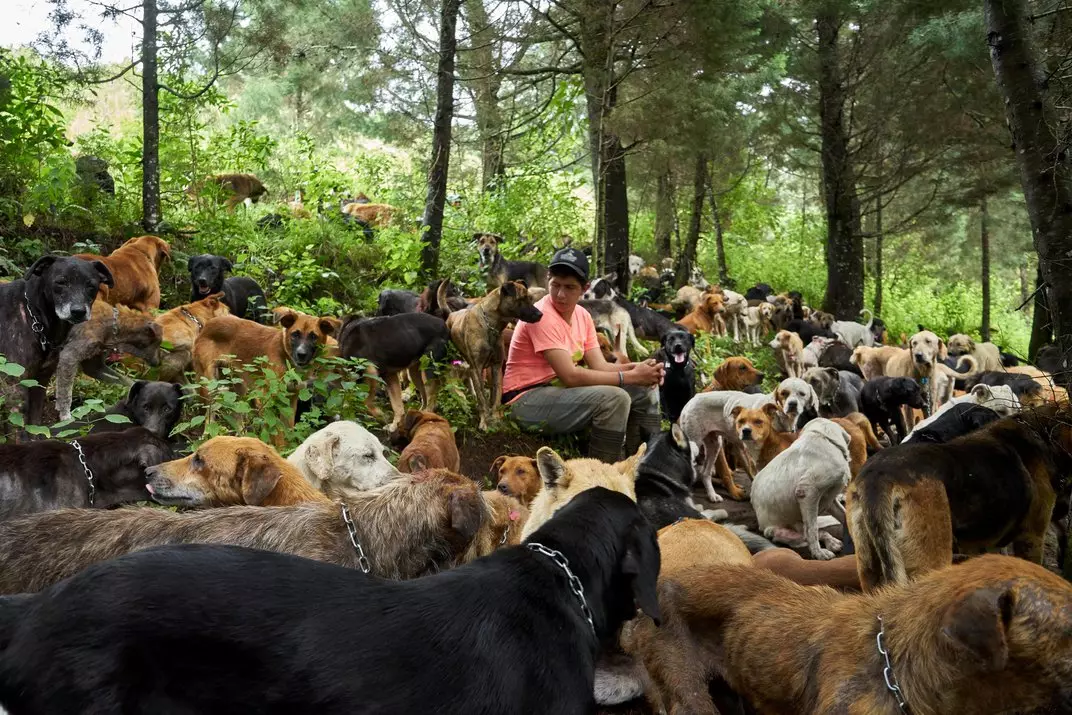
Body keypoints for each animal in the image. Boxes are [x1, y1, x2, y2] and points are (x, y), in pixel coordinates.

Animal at [1, 256, 113, 424]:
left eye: (91, 285)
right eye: (61, 282)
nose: (78, 311)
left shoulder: (40, 381)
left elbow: (34, 423)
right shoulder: (14, 387)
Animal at [750, 415, 849, 561]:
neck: (821, 436)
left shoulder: (829, 498)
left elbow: (844, 515)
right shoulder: (807, 491)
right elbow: (812, 531)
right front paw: (818, 554)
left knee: (820, 531)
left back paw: (833, 542)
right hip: (781, 532)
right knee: (811, 534)